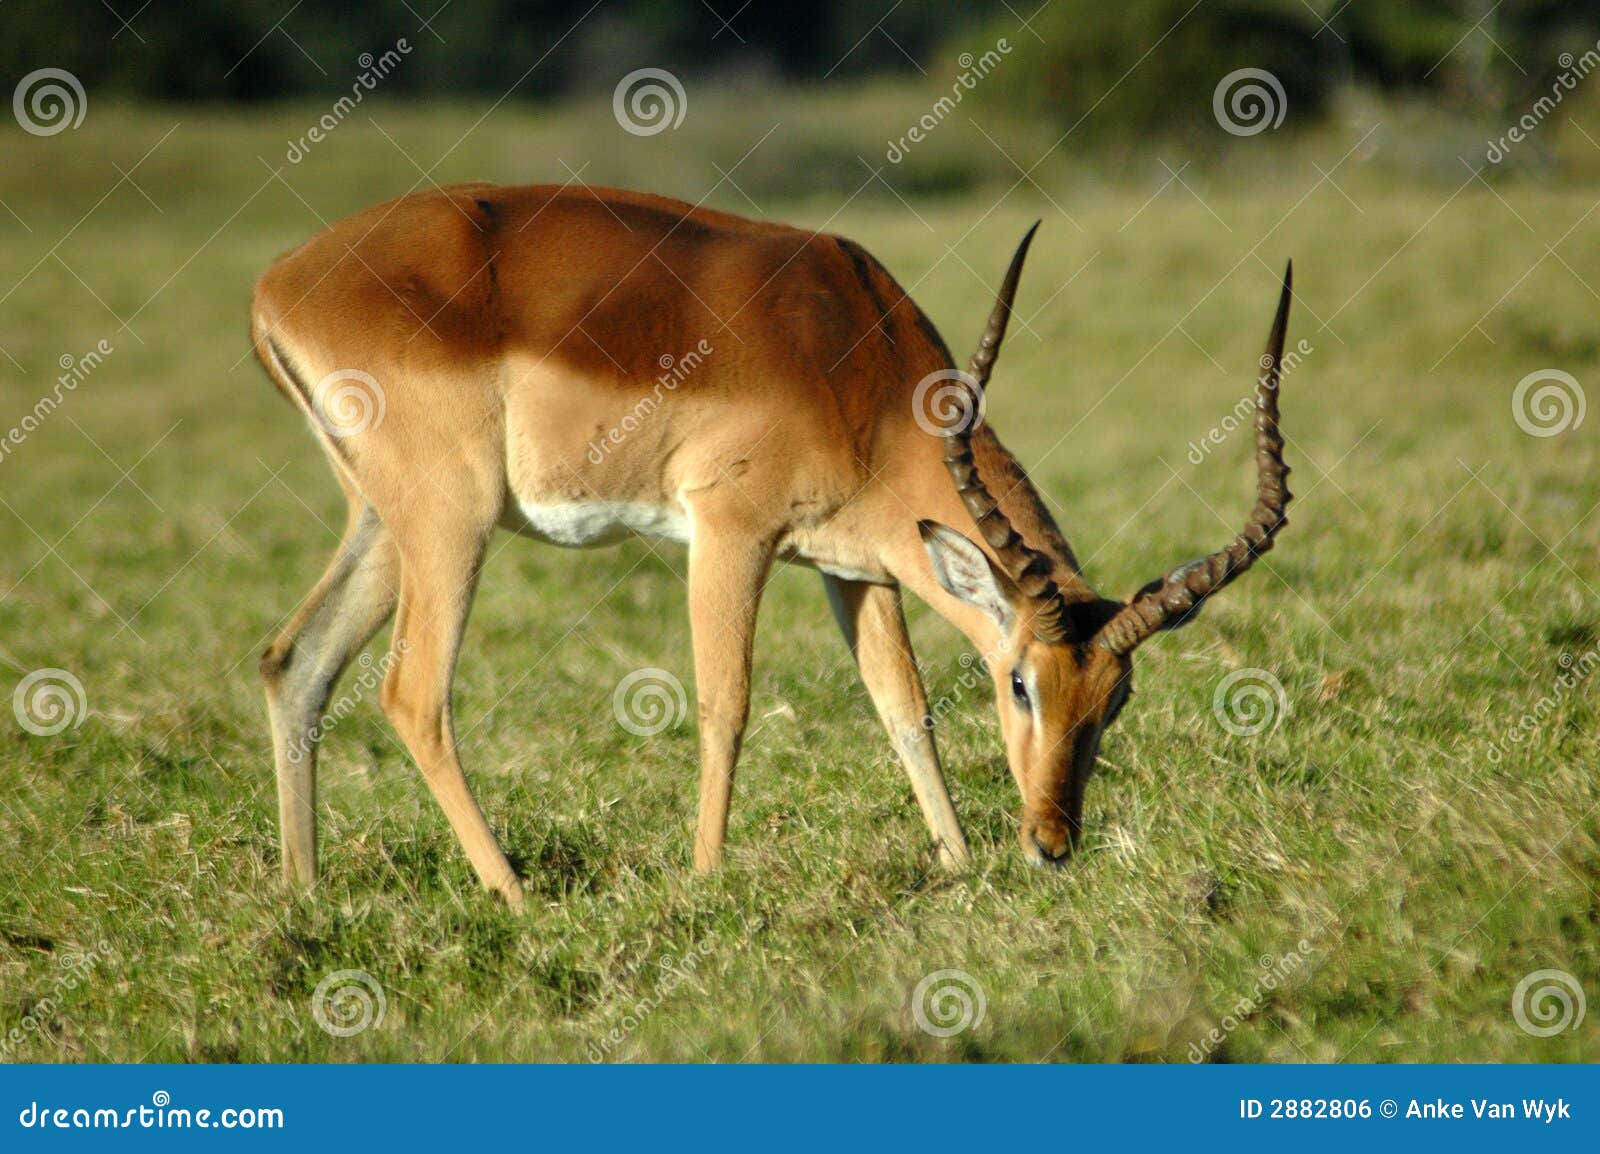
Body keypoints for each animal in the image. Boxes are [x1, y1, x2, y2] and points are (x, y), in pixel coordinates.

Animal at [252, 184, 1293, 909]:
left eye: (1114, 701)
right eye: (1021, 683)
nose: (1050, 843)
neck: (865, 373)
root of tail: (278, 283)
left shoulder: (855, 568)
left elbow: (904, 710)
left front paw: (958, 864)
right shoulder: (730, 532)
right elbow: (726, 705)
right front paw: (707, 878)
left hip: (385, 524)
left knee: (294, 661)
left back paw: (305, 897)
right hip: (451, 522)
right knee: (411, 693)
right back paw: (514, 897)